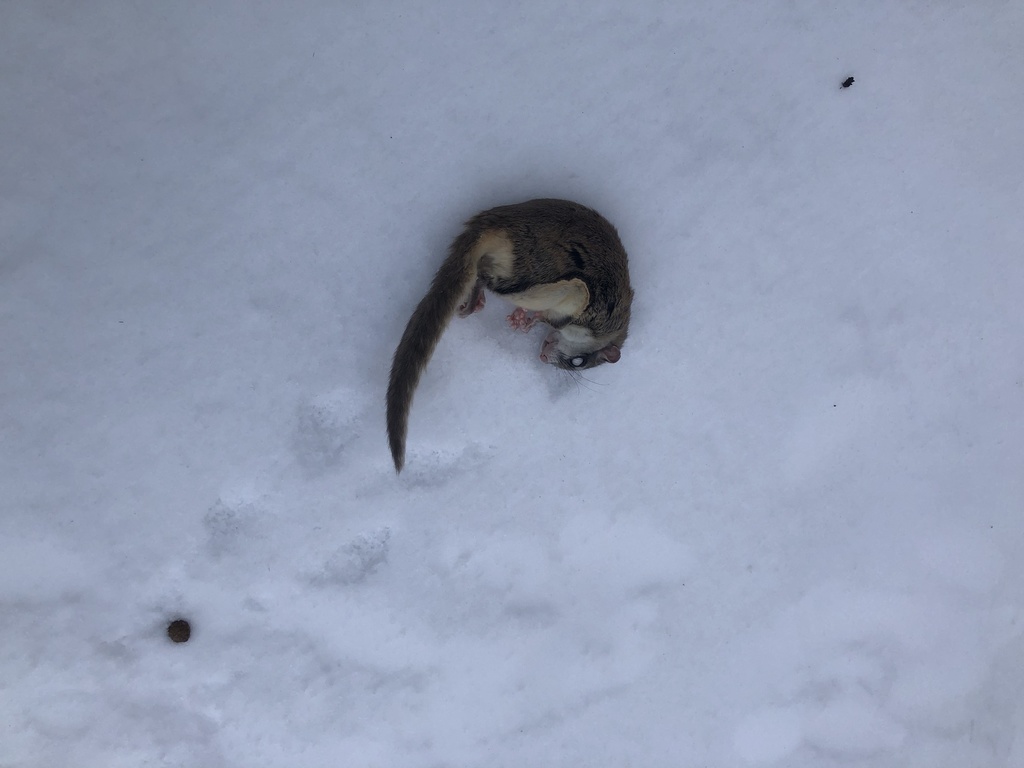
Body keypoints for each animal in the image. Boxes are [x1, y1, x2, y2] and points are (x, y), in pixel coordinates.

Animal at [386, 198, 634, 472]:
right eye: (577, 363)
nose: (542, 358)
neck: (610, 332)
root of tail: (496, 222)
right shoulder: (591, 315)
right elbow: (552, 319)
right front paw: (530, 320)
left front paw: (524, 320)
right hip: (551, 277)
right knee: (493, 280)